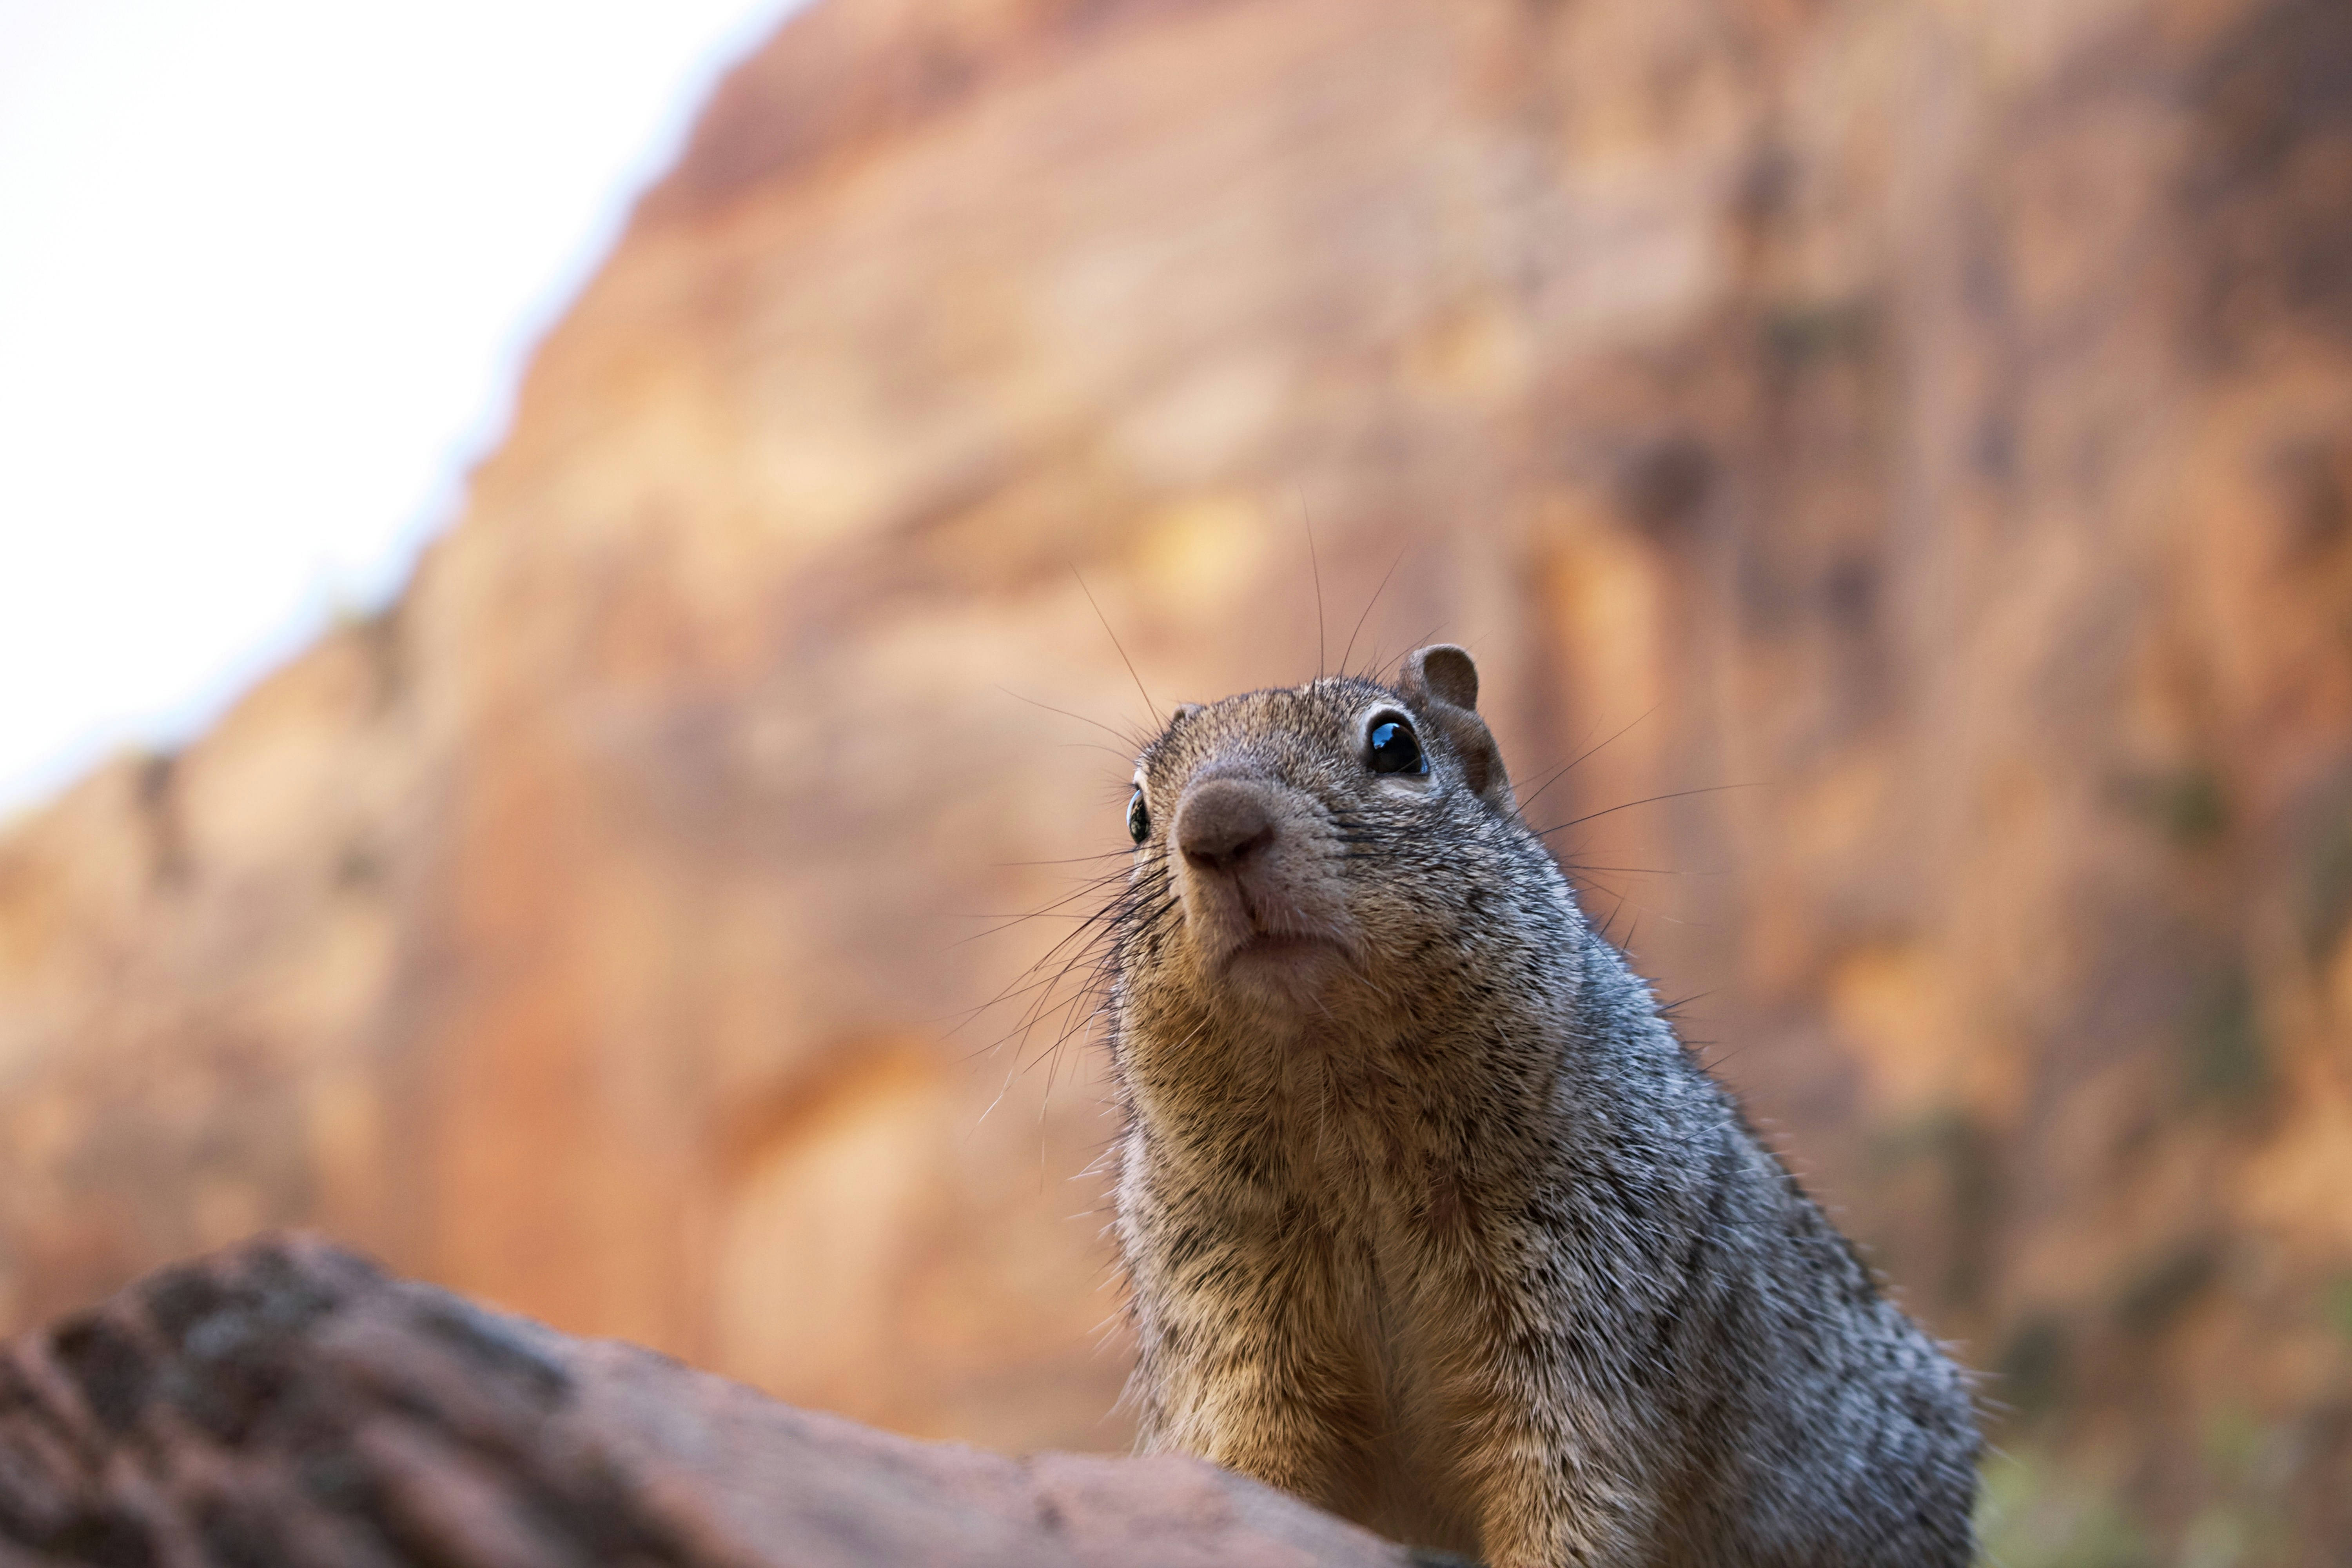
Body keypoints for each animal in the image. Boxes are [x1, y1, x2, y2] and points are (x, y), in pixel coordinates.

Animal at [1101, 645, 1978, 1567]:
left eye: (1394, 743)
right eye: (1135, 813)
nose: (1216, 825)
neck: (1349, 1127)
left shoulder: (1593, 1321)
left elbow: (1568, 1497)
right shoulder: (1229, 1323)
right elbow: (1252, 1471)